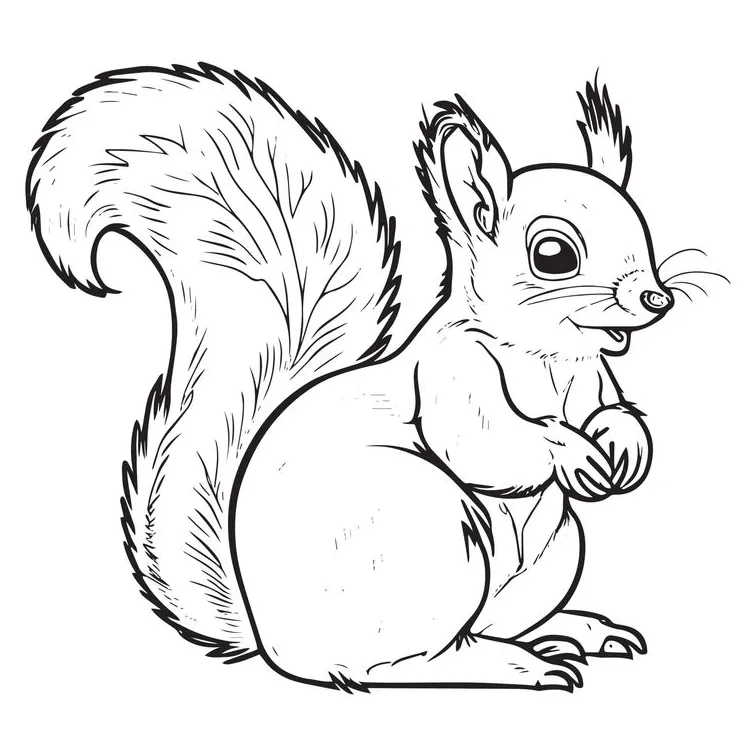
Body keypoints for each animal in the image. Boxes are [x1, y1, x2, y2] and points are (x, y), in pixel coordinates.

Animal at [27, 63, 675, 692]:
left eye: (642, 229)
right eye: (554, 255)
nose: (657, 298)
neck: (543, 357)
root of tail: (269, 639)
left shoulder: (591, 376)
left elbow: (608, 409)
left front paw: (624, 444)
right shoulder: (451, 369)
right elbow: (482, 442)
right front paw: (572, 452)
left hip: (555, 554)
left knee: (494, 624)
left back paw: (571, 631)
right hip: (425, 536)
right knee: (395, 665)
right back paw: (512, 665)